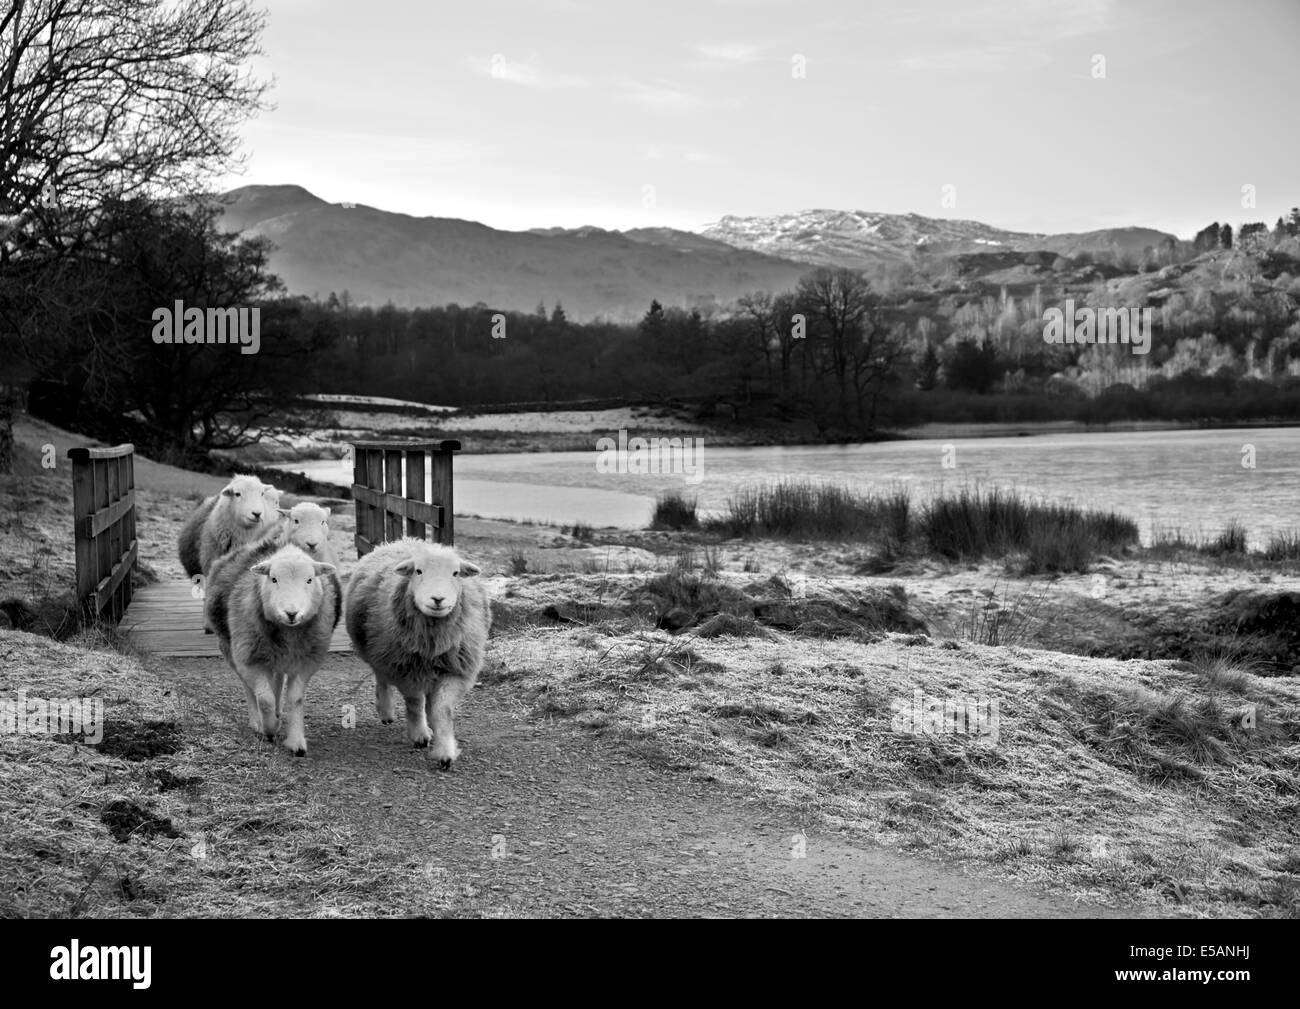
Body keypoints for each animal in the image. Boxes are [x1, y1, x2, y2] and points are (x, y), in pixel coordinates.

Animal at [205, 538, 341, 755]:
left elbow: (295, 699)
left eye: (310, 580)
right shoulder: (251, 660)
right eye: (274, 579)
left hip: (275, 657)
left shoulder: (307, 662)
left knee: (276, 681)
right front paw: (269, 729)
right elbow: (264, 698)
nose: (291, 613)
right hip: (234, 649)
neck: (288, 632)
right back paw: (257, 722)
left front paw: (295, 742)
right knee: (250, 688)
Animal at [344, 538, 489, 769]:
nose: (438, 599)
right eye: (418, 571)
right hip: (379, 650)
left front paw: (444, 751)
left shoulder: (455, 671)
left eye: (456, 573)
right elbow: (415, 703)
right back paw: (386, 711)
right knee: (381, 677)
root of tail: (404, 540)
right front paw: (419, 735)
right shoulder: (405, 669)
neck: (432, 644)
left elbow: (442, 710)